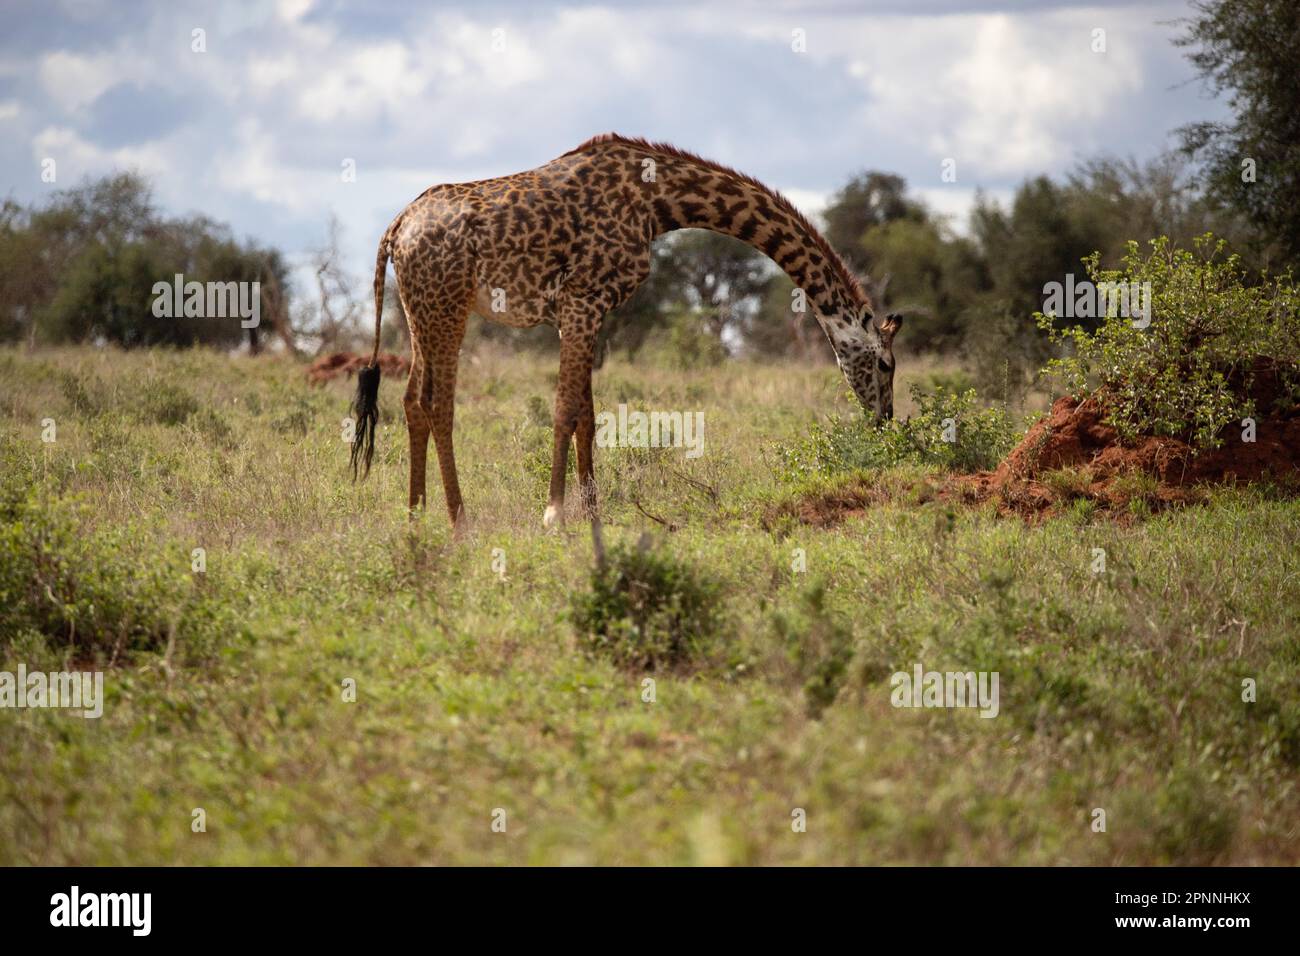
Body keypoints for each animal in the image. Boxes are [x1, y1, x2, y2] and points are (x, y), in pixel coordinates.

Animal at [350, 133, 903, 529]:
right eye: (885, 363)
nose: (885, 422)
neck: (657, 201)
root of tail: (395, 229)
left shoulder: (587, 311)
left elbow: (588, 416)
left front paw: (592, 514)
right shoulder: (581, 301)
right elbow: (565, 409)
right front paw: (554, 514)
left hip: (421, 311)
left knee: (411, 402)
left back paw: (416, 516)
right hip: (447, 308)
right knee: (438, 404)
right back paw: (459, 521)